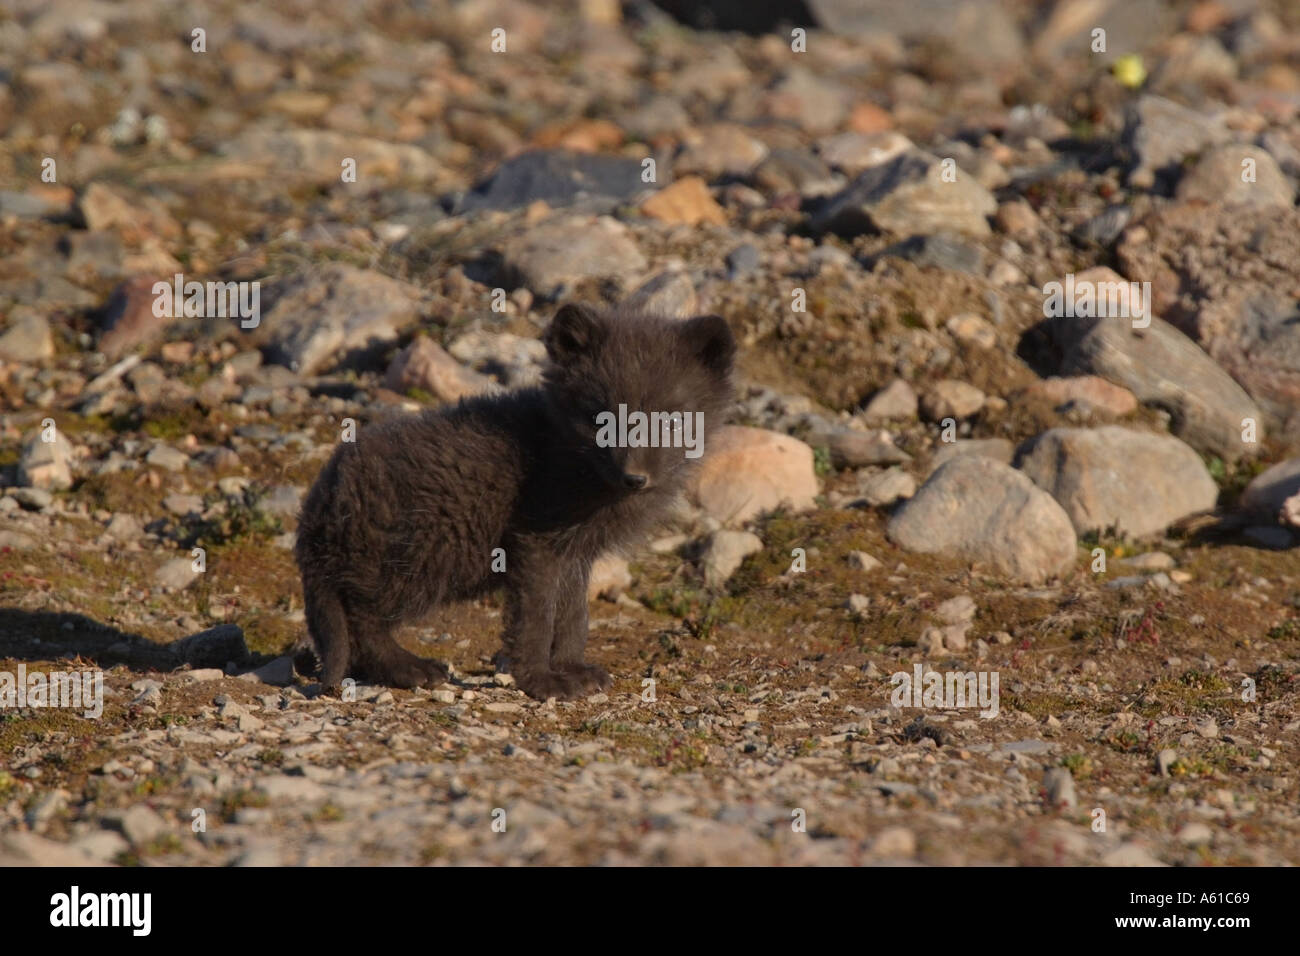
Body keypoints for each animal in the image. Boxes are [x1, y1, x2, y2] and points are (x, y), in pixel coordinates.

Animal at [294, 303, 736, 700]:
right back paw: (410, 669)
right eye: (600, 416)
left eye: (672, 418)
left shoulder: (574, 553)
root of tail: (322, 495)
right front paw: (542, 682)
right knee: (363, 621)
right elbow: (536, 619)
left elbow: (573, 616)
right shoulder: (534, 544)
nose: (635, 478)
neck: (570, 459)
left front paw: (572, 668)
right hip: (418, 556)